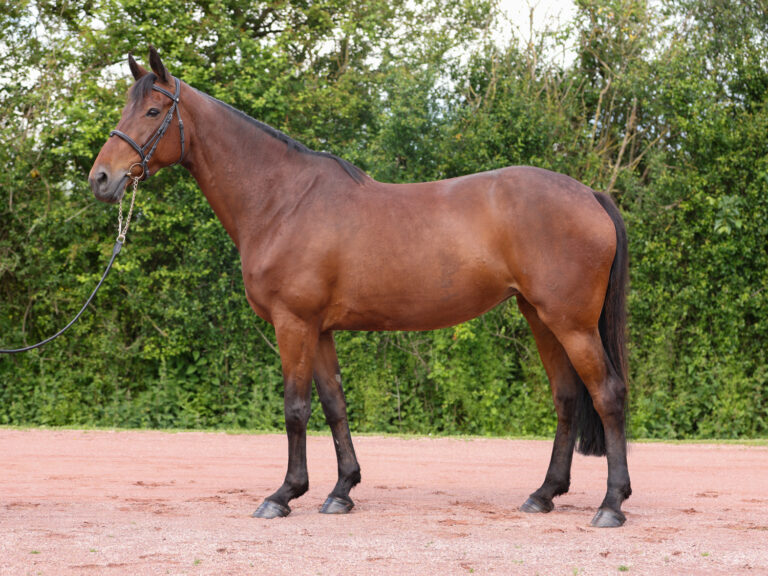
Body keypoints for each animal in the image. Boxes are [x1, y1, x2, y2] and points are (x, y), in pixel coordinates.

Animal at [89, 47, 631, 527]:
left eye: (153, 110)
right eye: (125, 108)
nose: (101, 179)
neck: (282, 201)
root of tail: (590, 194)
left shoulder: (293, 324)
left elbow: (295, 408)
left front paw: (283, 495)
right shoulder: (320, 329)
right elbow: (334, 405)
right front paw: (341, 491)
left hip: (572, 324)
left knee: (607, 394)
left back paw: (611, 504)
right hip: (540, 317)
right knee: (566, 397)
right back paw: (544, 494)